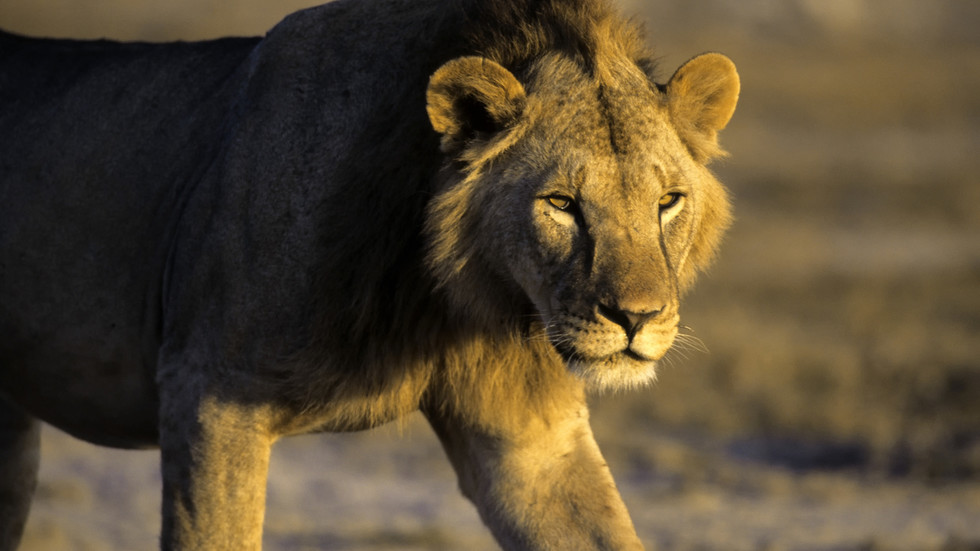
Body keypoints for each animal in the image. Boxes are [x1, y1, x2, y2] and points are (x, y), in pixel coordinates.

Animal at [0, 0, 738, 548]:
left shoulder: (531, 439)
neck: (437, 294)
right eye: (561, 203)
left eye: (668, 201)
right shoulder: (207, 394)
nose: (637, 318)